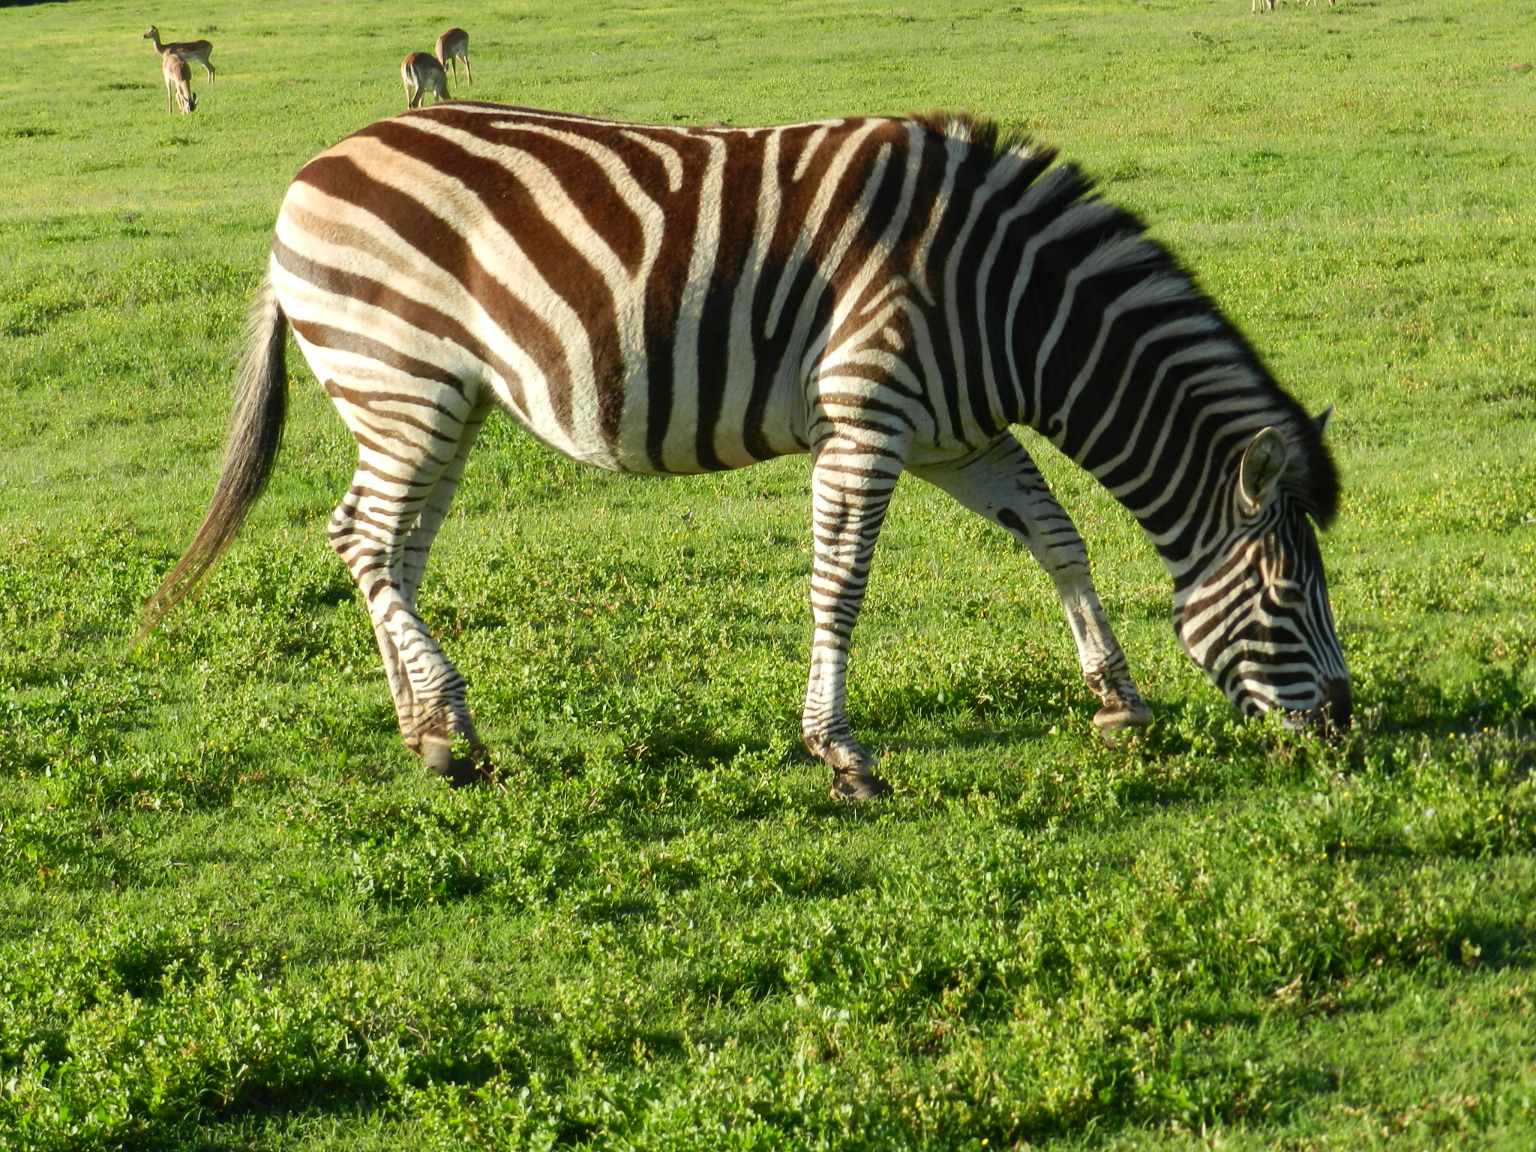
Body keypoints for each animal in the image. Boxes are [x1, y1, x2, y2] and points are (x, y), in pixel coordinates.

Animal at [141, 105, 1350, 801]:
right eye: (1288, 599)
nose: (1346, 732)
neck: (1010, 304)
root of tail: (316, 165)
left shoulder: (958, 436)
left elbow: (1056, 537)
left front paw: (1118, 700)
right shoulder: (868, 412)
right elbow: (841, 581)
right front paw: (840, 752)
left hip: (439, 400)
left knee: (392, 549)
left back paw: (424, 728)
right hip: (402, 379)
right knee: (363, 538)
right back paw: (452, 738)